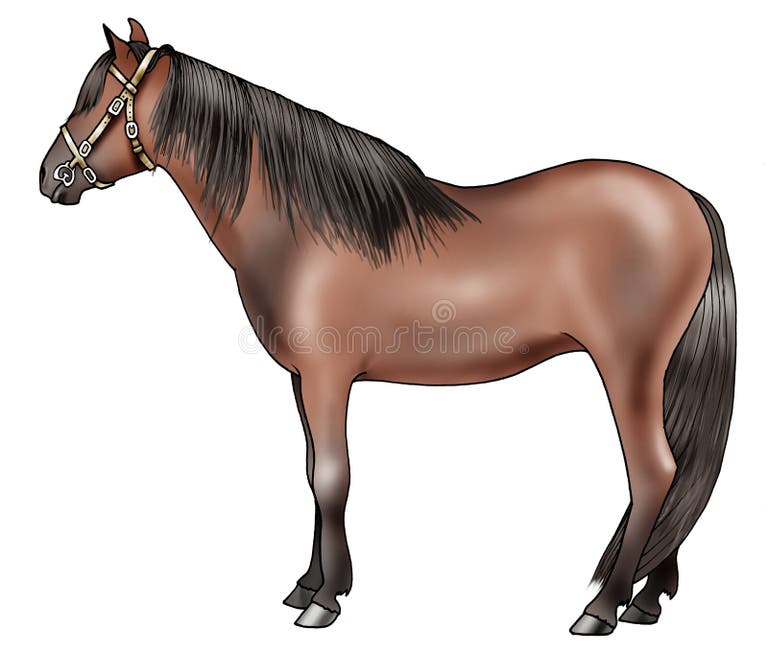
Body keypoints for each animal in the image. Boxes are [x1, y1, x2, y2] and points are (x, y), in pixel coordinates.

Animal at [39, 19, 736, 635]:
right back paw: (647, 600)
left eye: (96, 97)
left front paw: (324, 603)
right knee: (681, 468)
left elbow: (332, 478)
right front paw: (310, 584)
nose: (49, 176)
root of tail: (687, 200)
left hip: (628, 367)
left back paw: (602, 608)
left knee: (654, 472)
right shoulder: (302, 381)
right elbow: (312, 473)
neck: (301, 230)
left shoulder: (327, 378)